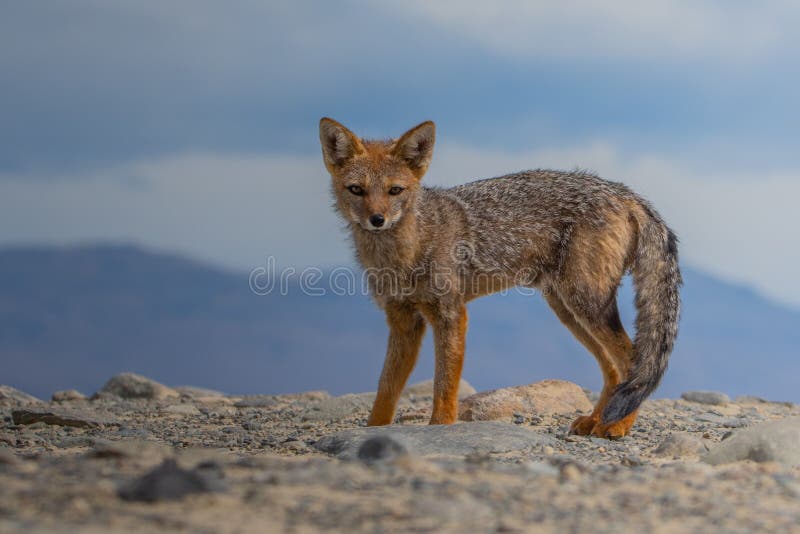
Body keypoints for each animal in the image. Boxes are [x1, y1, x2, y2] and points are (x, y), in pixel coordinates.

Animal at [319, 118, 681, 439]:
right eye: (356, 190)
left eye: (395, 190)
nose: (377, 219)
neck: (405, 252)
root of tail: (622, 190)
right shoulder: (403, 320)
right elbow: (386, 389)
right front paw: (373, 431)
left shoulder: (451, 314)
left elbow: (444, 386)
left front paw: (440, 429)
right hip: (569, 311)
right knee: (615, 369)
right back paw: (597, 420)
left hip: (586, 304)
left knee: (630, 360)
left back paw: (617, 426)